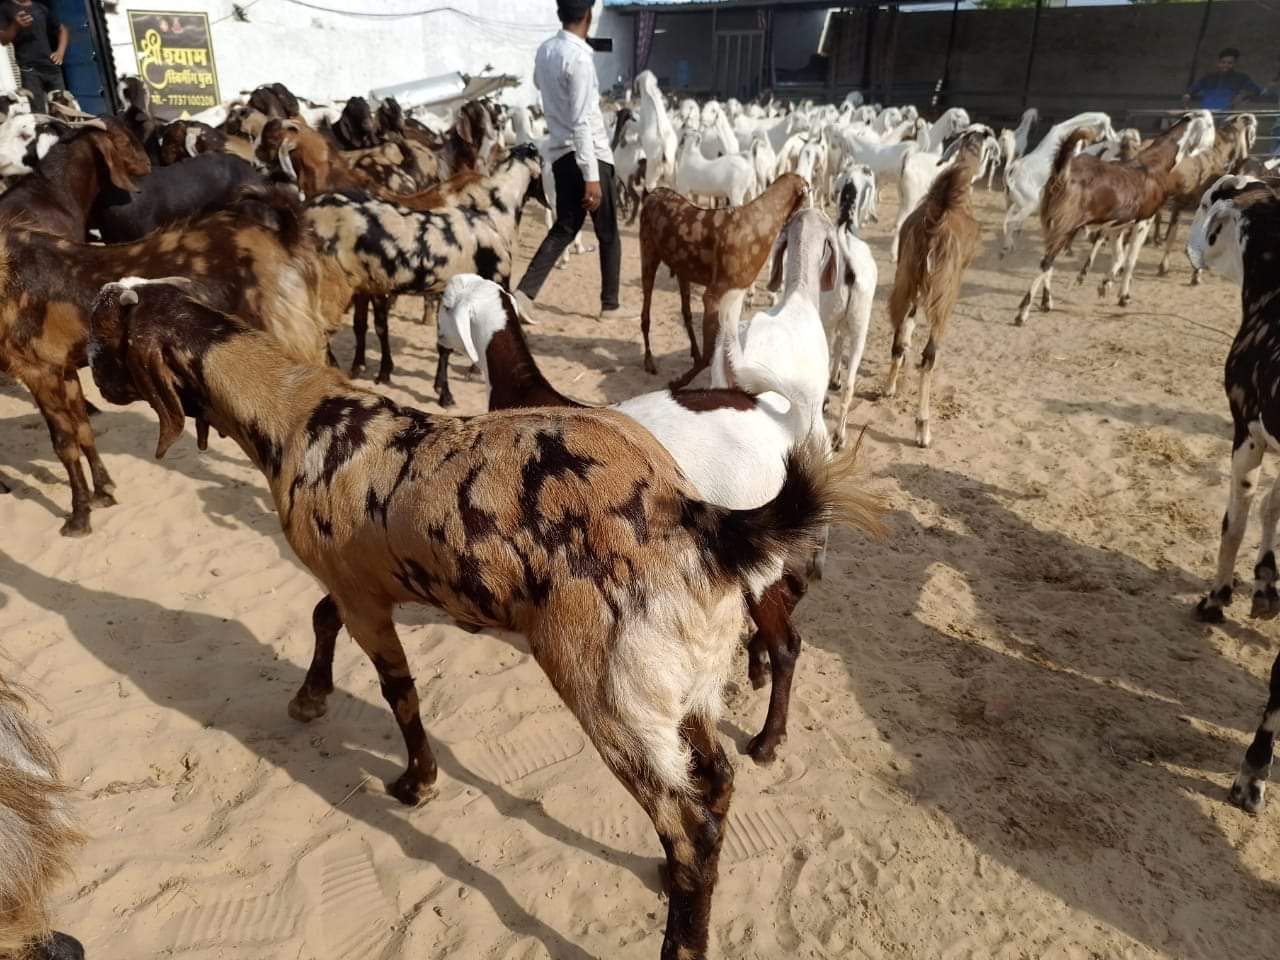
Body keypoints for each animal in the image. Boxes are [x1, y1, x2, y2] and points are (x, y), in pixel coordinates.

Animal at [0, 186, 348, 535]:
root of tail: (285, 238)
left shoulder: (39, 372)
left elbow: (64, 444)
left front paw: (79, 517)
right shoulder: (64, 369)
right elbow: (84, 431)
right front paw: (103, 492)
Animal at [88, 276, 880, 960]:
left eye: (103, 339)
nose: (91, 379)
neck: (304, 416)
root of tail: (708, 525)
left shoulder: (365, 598)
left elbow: (398, 691)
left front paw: (415, 783)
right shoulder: (356, 580)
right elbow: (319, 618)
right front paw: (310, 697)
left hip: (611, 692)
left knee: (687, 824)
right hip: (682, 684)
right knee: (713, 785)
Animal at [639, 173, 808, 387]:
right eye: (808, 191)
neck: (760, 222)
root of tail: (653, 192)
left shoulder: (736, 294)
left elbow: (730, 345)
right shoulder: (713, 295)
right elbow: (709, 354)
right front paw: (679, 381)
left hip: (682, 269)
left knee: (686, 312)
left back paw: (693, 351)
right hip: (648, 256)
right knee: (645, 314)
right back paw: (649, 360)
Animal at [882, 129, 986, 448]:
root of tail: (935, 223)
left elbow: (906, 329)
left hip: (905, 279)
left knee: (897, 335)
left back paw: (889, 387)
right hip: (943, 296)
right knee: (928, 357)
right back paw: (923, 428)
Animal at [1015, 111, 1216, 325]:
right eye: (1210, 124)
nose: (1212, 146)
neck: (1153, 166)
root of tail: (1062, 172)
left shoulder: (1118, 225)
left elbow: (1118, 255)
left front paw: (1105, 284)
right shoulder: (1144, 220)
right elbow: (1130, 259)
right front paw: (1124, 296)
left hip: (1054, 224)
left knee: (1048, 263)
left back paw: (1047, 302)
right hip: (1065, 225)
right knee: (1046, 262)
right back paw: (1022, 313)